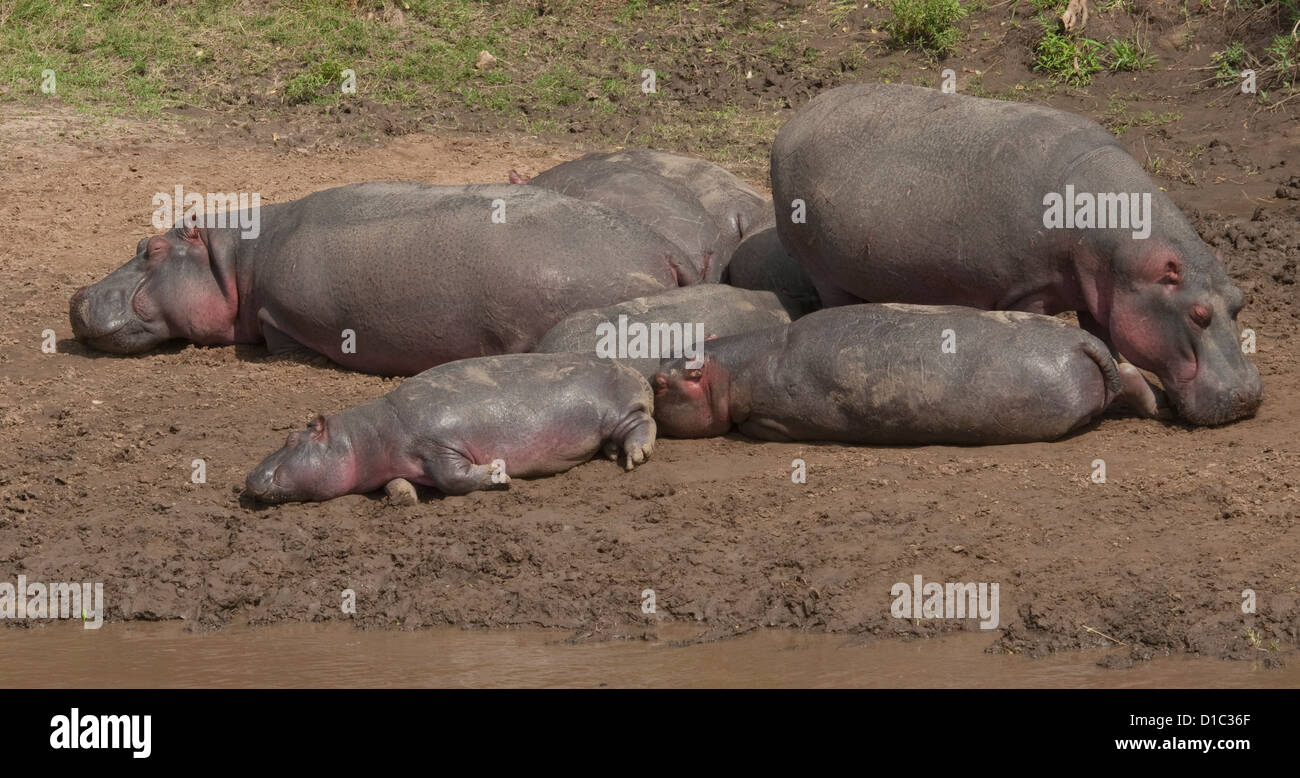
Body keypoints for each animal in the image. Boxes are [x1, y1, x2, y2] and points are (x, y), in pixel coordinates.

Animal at [244, 353, 656, 503]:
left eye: (292, 438)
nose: (248, 478)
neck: (363, 436)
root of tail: (632, 370)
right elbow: (397, 482)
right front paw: (404, 495)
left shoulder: (440, 445)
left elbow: (452, 478)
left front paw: (498, 474)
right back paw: (615, 453)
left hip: (618, 412)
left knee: (643, 423)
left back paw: (635, 455)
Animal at [651, 304, 1157, 444]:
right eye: (659, 365)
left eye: (659, 384)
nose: (649, 384)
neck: (732, 366)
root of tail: (1080, 340)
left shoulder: (769, 418)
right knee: (1128, 373)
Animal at [770, 83, 1262, 426]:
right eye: (1198, 314)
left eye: (1239, 302)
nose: (1248, 396)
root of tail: (792, 122)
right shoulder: (1028, 291)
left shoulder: (1104, 296)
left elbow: (1106, 337)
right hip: (821, 269)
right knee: (833, 298)